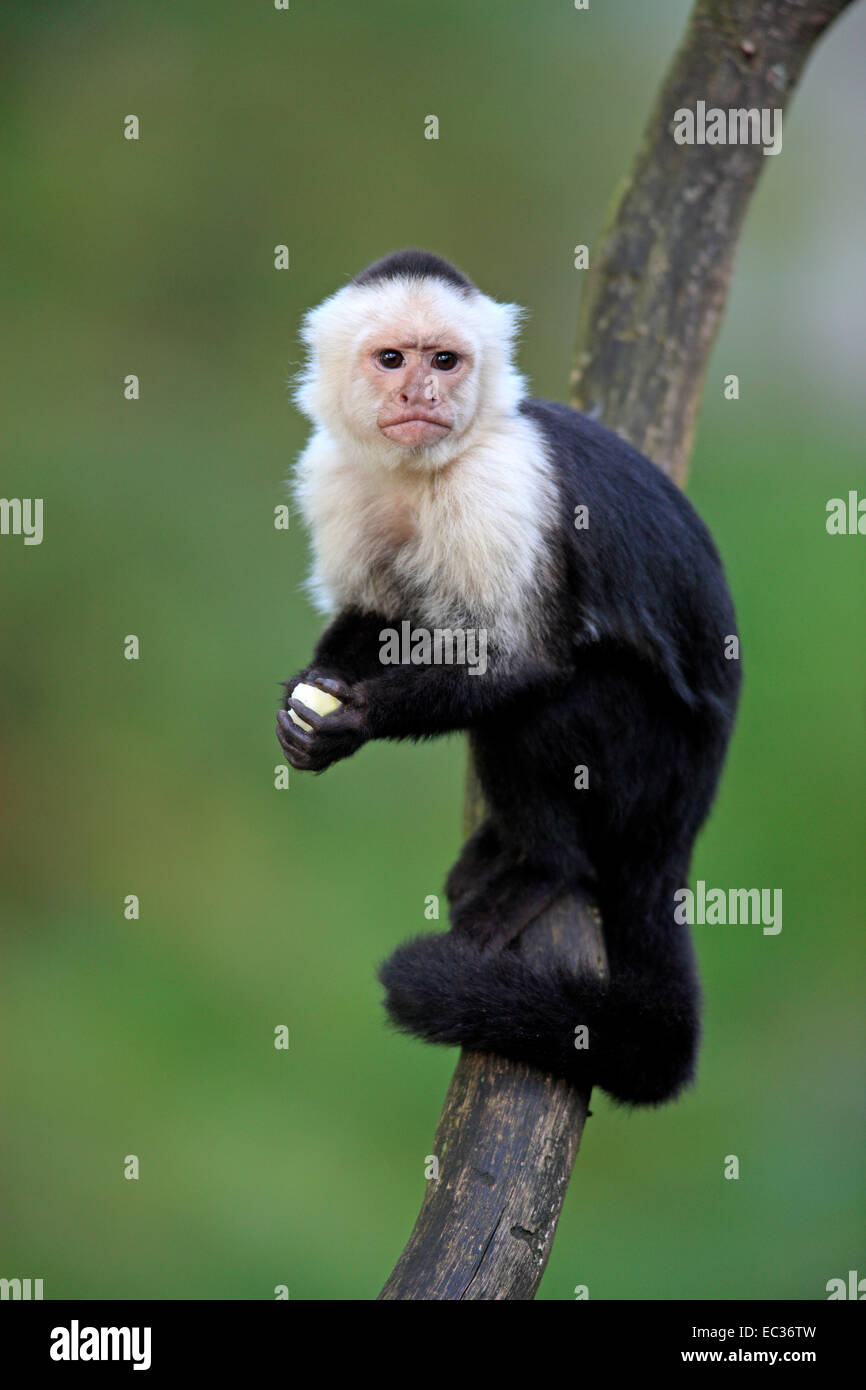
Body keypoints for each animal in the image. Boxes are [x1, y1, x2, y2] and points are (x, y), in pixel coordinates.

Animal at [276, 248, 741, 1106]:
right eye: (391, 359)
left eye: (445, 361)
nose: (421, 394)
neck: (423, 472)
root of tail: (686, 816)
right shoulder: (334, 472)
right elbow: (379, 614)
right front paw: (305, 709)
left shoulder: (499, 489)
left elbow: (528, 661)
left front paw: (355, 722)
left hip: (651, 768)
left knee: (547, 708)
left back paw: (541, 866)